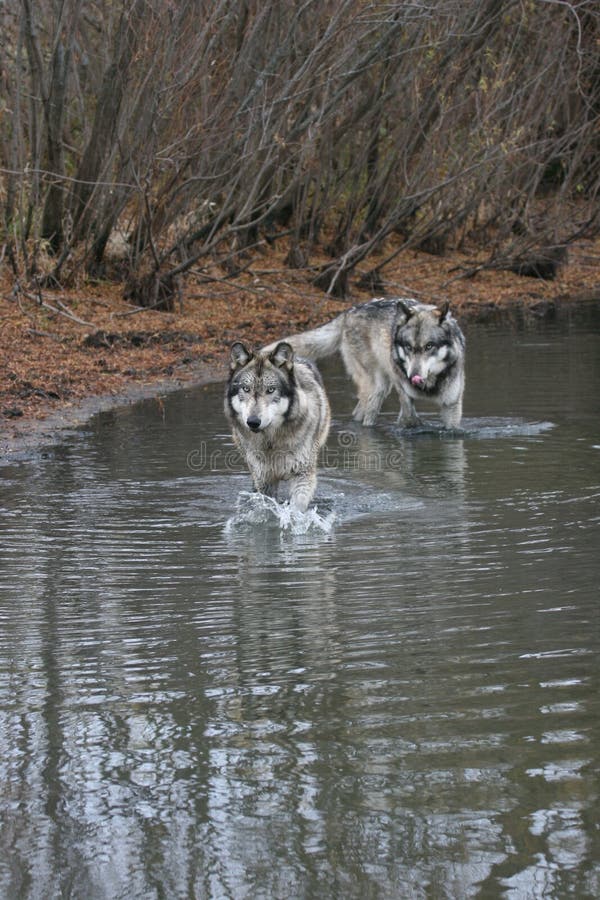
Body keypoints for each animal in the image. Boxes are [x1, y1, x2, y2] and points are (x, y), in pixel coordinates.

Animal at [225, 341, 331, 510]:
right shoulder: (264, 479)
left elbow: (297, 506)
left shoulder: (303, 475)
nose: (253, 421)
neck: (272, 442)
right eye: (246, 389)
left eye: (271, 390)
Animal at [265, 298, 465, 428]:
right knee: (365, 416)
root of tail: (349, 311)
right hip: (377, 388)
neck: (429, 386)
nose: (413, 376)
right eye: (408, 346)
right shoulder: (407, 406)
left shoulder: (452, 408)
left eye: (429, 346)